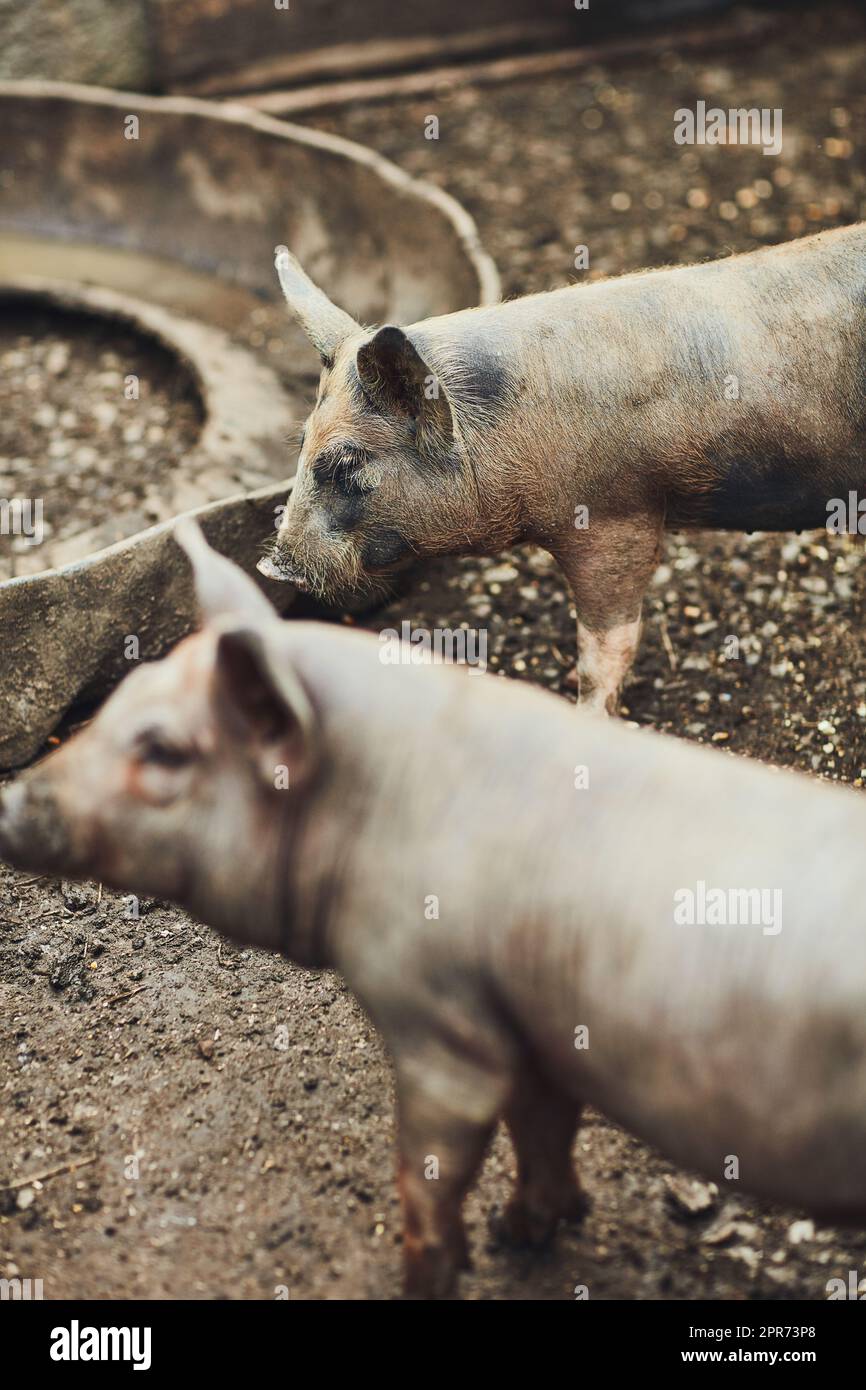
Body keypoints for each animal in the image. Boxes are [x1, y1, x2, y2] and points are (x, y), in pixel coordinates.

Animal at [3, 523, 866, 1299]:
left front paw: (441, 1272)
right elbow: (543, 1127)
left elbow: (428, 1175)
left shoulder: (443, 1018)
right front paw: (526, 1230)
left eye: (164, 752)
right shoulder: (529, 1023)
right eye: (118, 702)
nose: (10, 802)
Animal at [259, 225, 866, 713]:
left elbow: (608, 646)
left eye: (346, 462)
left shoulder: (618, 516)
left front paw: (586, 714)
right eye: (302, 443)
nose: (273, 565)